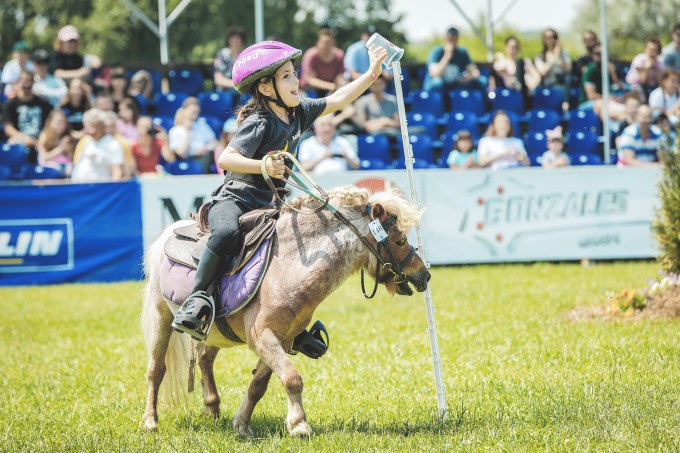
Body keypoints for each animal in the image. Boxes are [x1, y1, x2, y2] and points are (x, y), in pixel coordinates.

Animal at [141, 185, 431, 437]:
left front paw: (242, 424)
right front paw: (299, 425)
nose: (425, 275)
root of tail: (170, 231)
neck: (288, 267)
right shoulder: (263, 337)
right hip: (161, 317)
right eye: (400, 240)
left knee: (204, 358)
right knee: (156, 369)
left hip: (213, 331)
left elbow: (259, 386)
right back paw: (150, 421)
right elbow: (292, 378)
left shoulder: (282, 339)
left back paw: (212, 407)